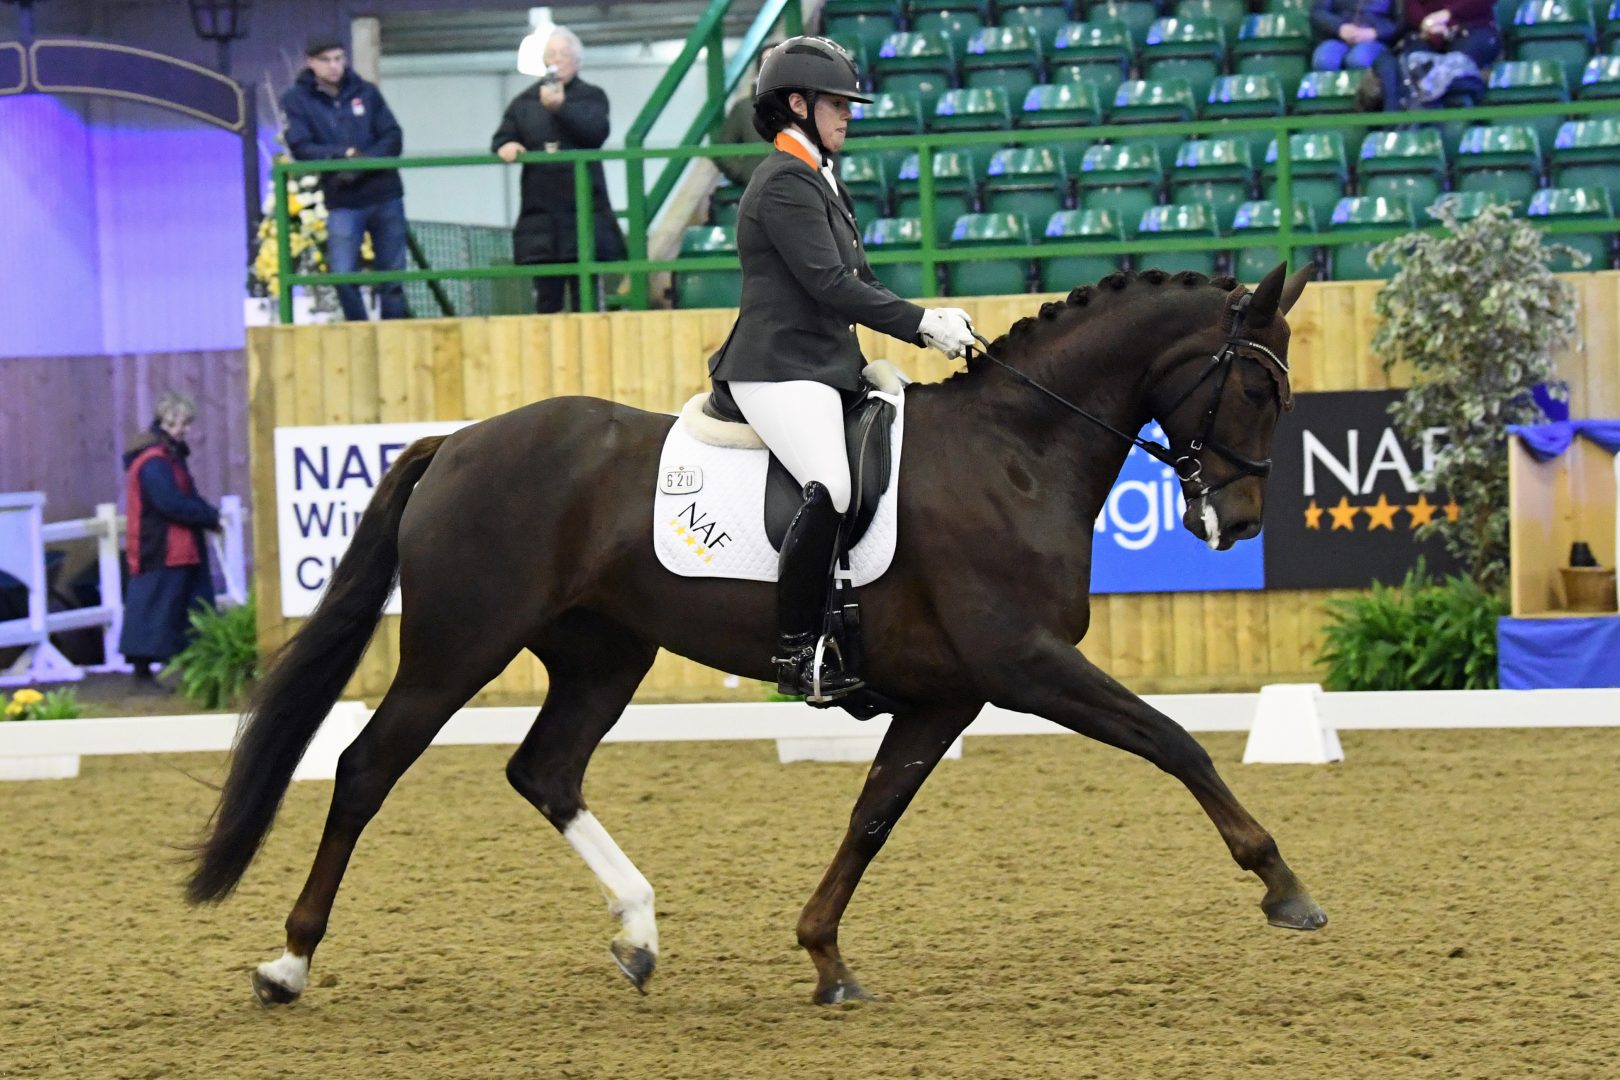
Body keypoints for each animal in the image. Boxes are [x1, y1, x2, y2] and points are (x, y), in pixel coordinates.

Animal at [188, 263, 1325, 1008]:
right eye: (1257, 385)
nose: (1237, 523)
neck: (1017, 453)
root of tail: (459, 442)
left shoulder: (949, 693)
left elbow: (873, 817)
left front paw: (825, 957)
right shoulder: (1028, 665)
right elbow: (1172, 741)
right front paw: (1284, 886)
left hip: (603, 654)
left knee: (544, 770)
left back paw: (640, 935)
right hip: (457, 647)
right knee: (366, 768)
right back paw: (287, 964)